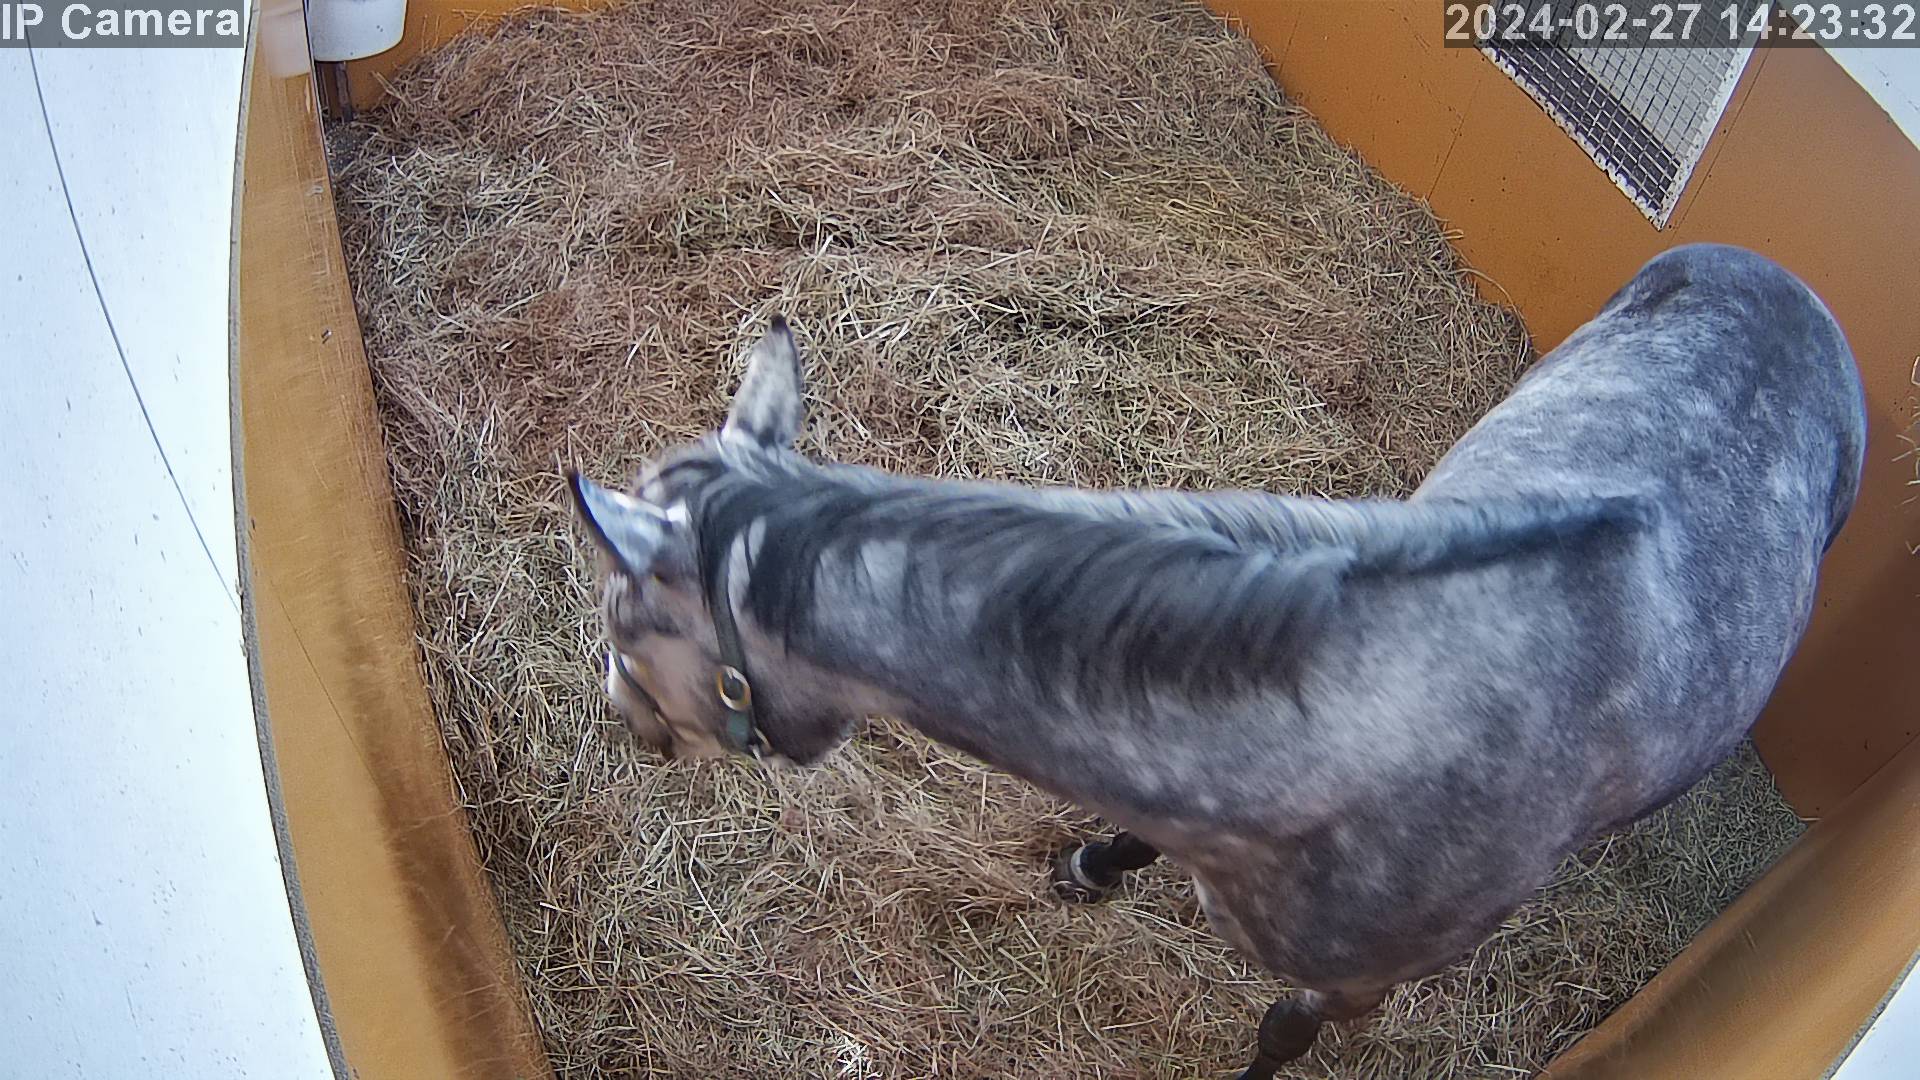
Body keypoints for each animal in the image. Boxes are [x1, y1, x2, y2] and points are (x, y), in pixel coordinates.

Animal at [566, 243, 1865, 1076]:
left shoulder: (1355, 985)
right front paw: (1092, 866)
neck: (1346, 740)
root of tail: (1787, 280)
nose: (623, 717)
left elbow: (1282, 1034)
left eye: (627, 623)